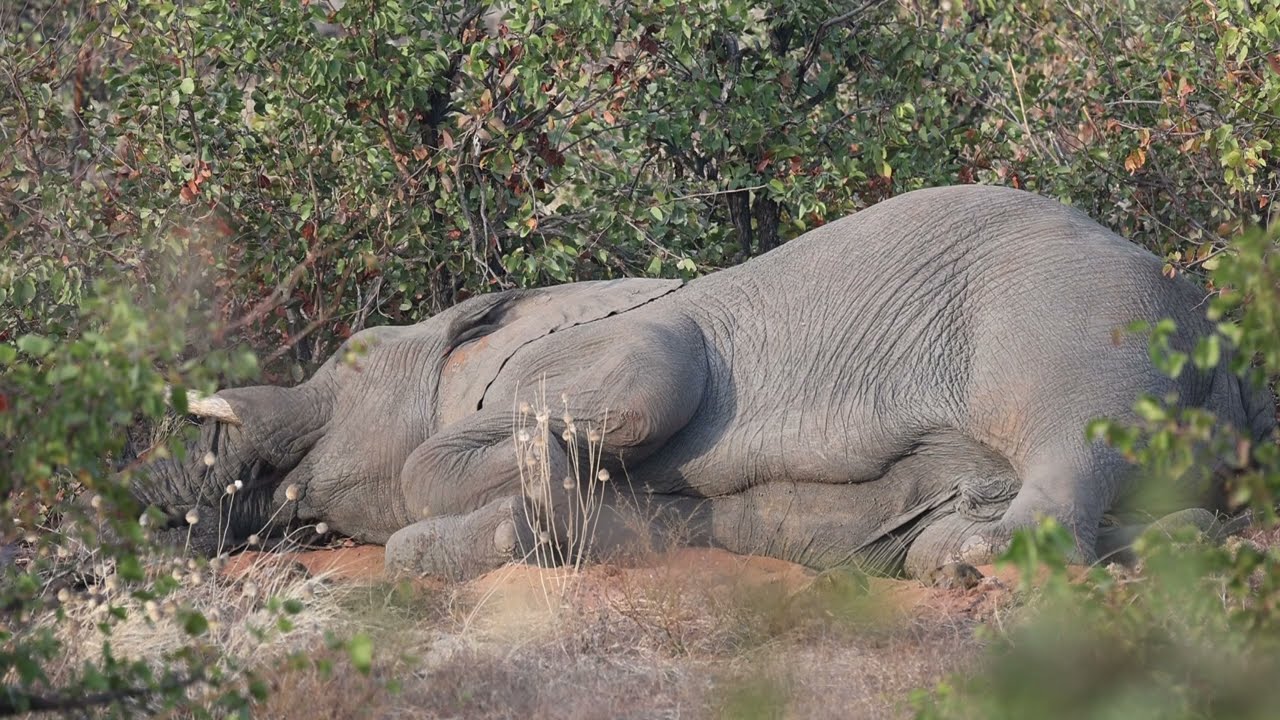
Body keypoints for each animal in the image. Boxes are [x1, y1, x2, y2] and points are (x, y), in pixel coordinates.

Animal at [125, 185, 1276, 581]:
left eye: (344, 365)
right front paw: (532, 525)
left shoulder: (609, 344)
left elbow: (641, 379)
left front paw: (535, 481)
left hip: (1080, 315)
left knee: (1074, 432)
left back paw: (976, 559)